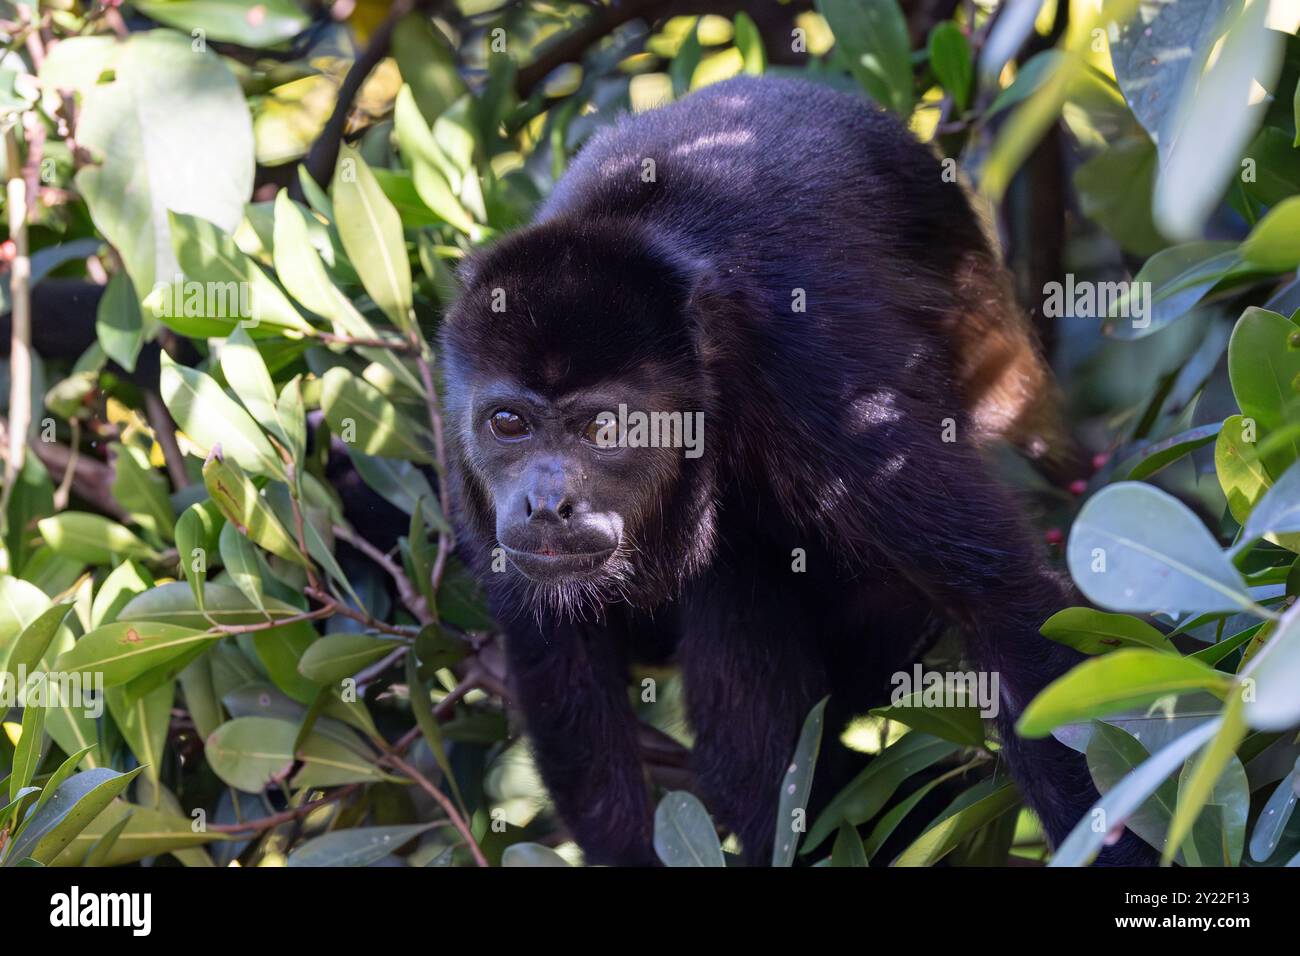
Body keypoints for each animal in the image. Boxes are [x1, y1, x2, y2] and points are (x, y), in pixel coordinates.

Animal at [439, 75, 1153, 866]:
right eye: (509, 423)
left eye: (605, 426)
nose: (545, 504)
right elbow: (556, 650)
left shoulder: (824, 387)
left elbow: (1005, 609)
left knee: (737, 581)